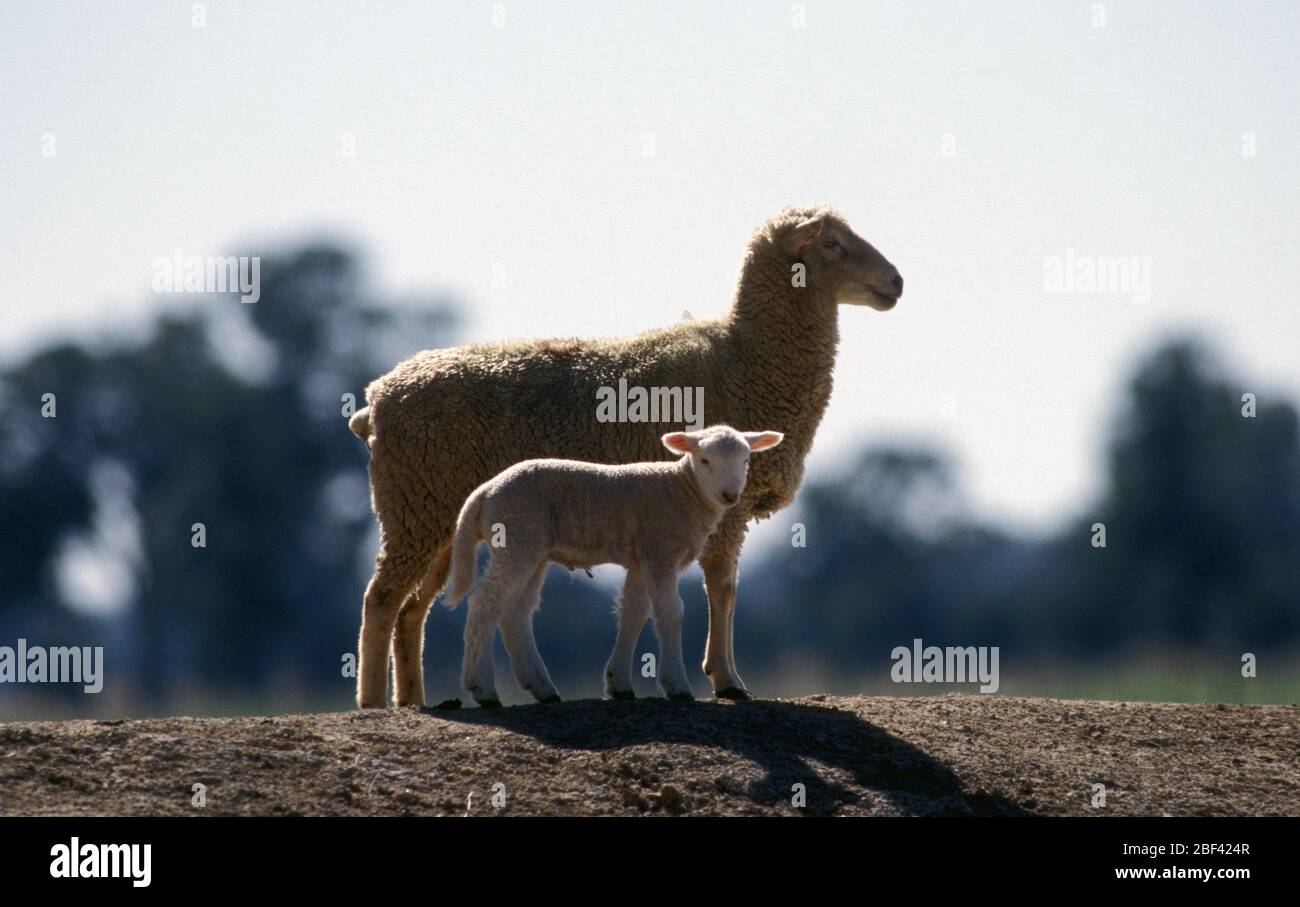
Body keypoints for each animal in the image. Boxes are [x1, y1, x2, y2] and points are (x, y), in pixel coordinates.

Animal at [445, 426, 784, 706]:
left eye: (746, 460)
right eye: (704, 460)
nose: (730, 495)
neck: (681, 489)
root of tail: (484, 493)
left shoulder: (641, 558)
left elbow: (633, 613)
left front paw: (619, 684)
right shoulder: (660, 551)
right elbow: (672, 613)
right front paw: (676, 686)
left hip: (532, 550)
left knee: (516, 611)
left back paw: (542, 688)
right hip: (516, 536)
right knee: (485, 602)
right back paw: (483, 690)